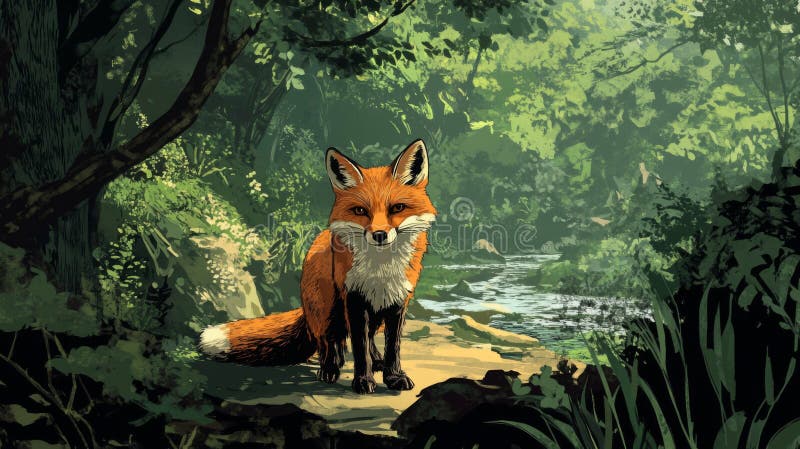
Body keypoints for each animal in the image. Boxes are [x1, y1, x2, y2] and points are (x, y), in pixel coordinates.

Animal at [199, 139, 436, 394]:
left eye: (397, 208)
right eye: (361, 211)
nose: (380, 235)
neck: (380, 271)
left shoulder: (397, 300)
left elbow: (392, 347)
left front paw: (393, 376)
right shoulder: (353, 298)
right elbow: (359, 347)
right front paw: (363, 380)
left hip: (373, 314)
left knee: (368, 338)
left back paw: (375, 362)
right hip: (327, 307)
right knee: (328, 341)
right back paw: (330, 368)